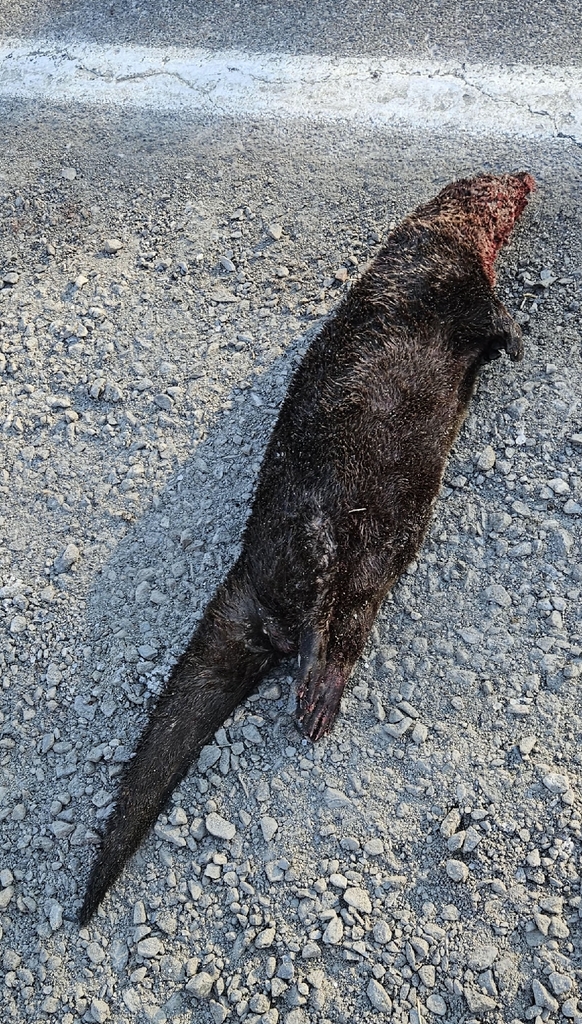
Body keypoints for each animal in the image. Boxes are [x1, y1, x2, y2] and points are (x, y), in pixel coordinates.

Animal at [79, 172, 535, 924]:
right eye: (502, 182)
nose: (528, 176)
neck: (439, 233)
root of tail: (253, 575)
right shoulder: (452, 277)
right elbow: (494, 318)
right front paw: (521, 338)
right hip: (316, 531)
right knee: (321, 617)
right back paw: (313, 699)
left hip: (370, 565)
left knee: (348, 620)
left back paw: (323, 694)